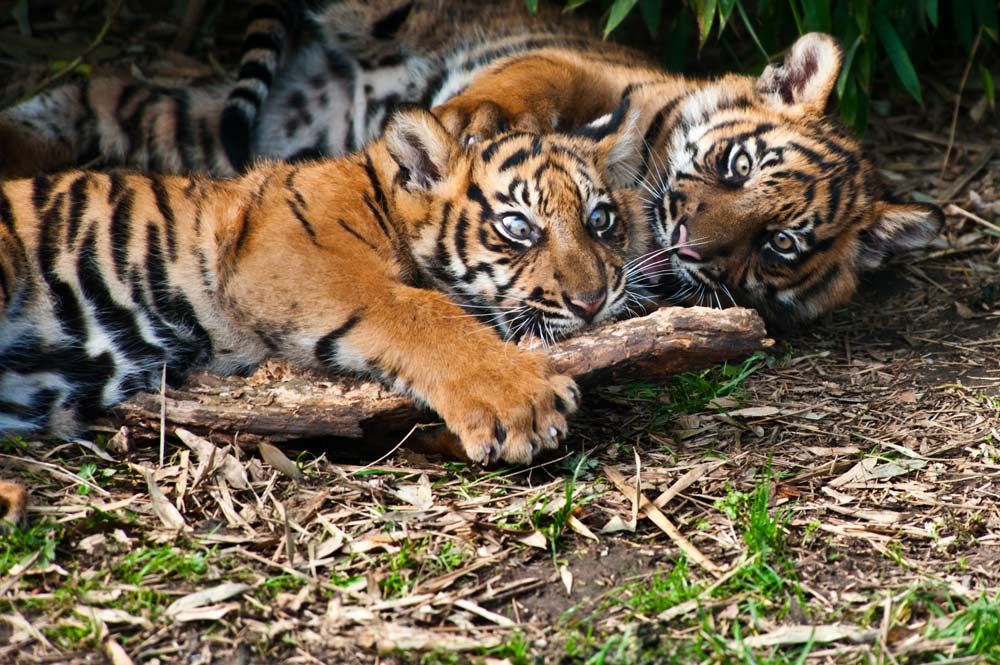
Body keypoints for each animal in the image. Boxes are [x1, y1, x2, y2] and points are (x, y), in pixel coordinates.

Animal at [0, 104, 649, 525]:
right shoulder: (294, 263)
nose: (592, 300)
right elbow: (417, 308)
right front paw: (519, 401)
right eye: (518, 226)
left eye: (600, 220)